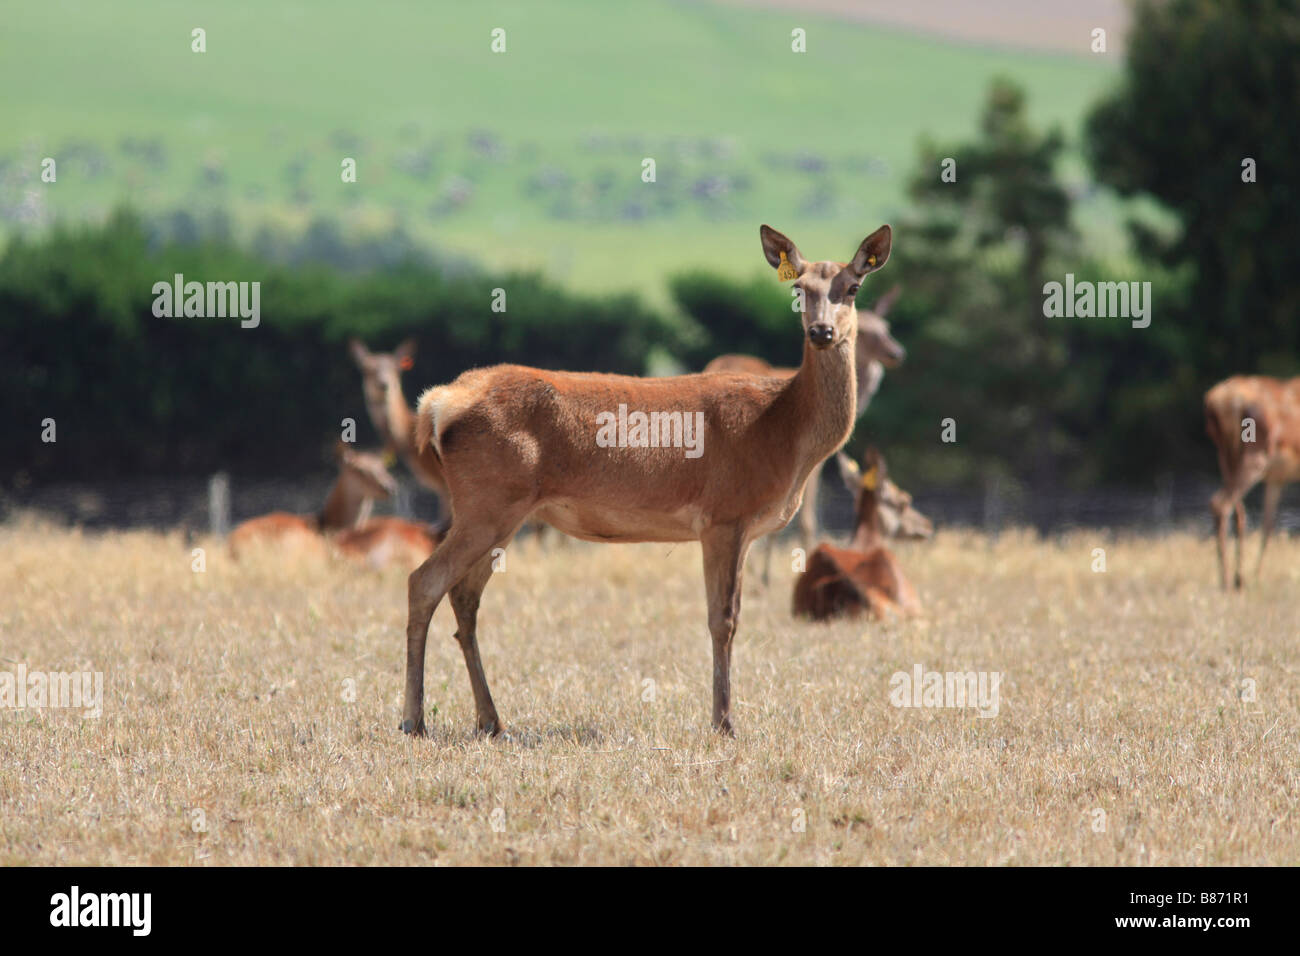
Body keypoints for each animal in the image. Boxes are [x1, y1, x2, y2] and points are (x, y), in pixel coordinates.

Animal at [1204, 375, 1300, 589]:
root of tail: (1219, 402)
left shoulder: (1277, 479)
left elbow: (1268, 525)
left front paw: (1257, 576)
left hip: (1226, 456)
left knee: (1237, 511)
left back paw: (1238, 579)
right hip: (1256, 454)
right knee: (1221, 503)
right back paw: (1228, 580)